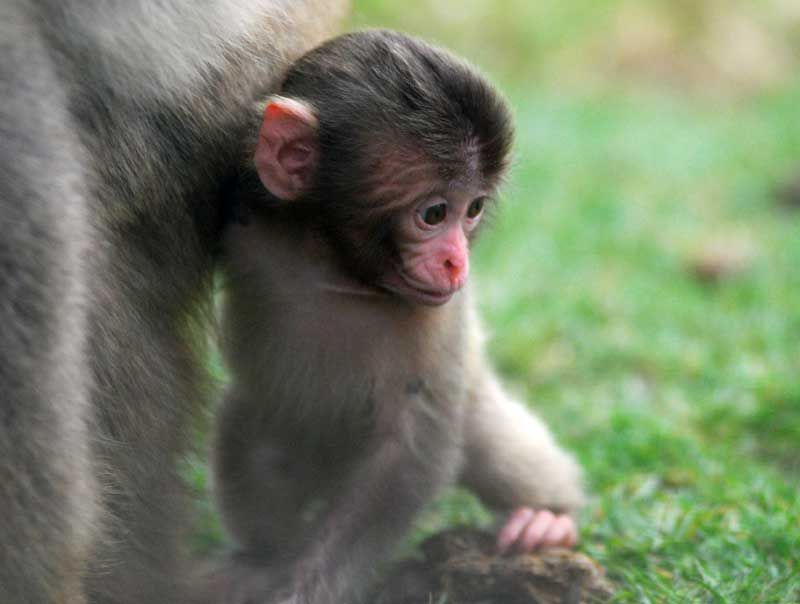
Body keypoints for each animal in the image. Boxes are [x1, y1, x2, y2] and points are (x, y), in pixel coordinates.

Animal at [210, 29, 585, 604]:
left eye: (473, 209)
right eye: (434, 213)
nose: (458, 261)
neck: (337, 270)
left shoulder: (437, 318)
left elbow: (405, 458)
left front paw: (305, 589)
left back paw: (545, 520)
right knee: (251, 430)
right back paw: (261, 555)